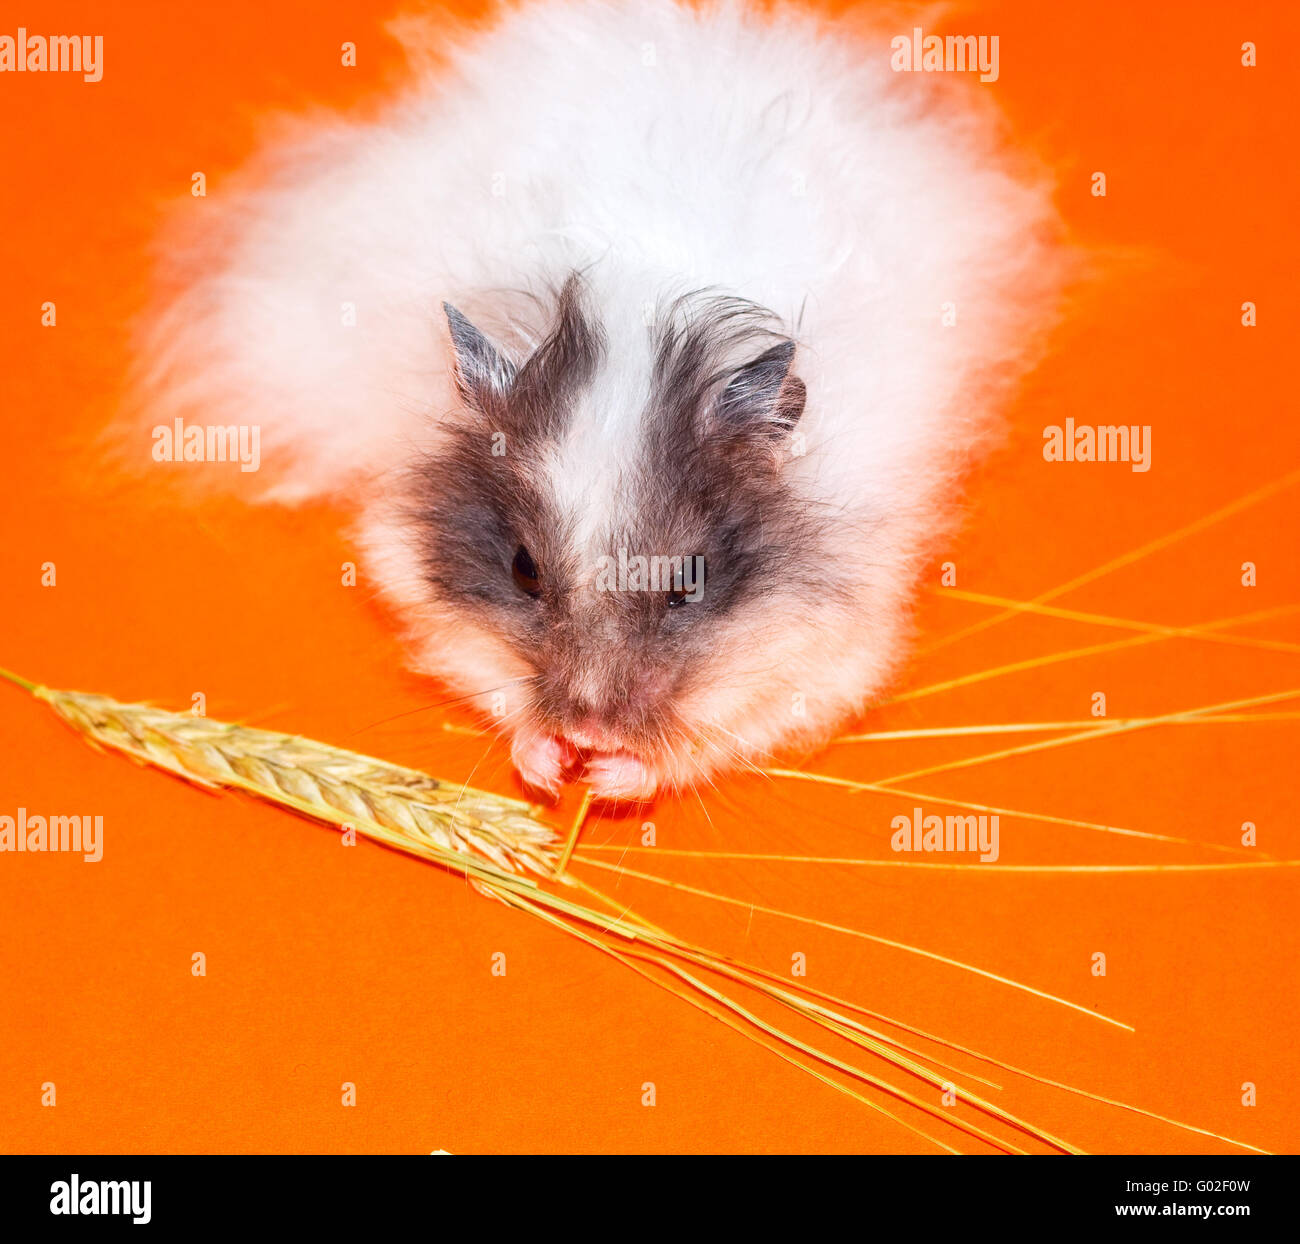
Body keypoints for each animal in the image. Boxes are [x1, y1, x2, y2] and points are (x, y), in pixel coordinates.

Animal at [134, 0, 1062, 800]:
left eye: (688, 582)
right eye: (522, 569)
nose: (587, 728)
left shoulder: (825, 645)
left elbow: (723, 729)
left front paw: (613, 777)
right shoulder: (422, 581)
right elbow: (486, 671)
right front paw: (547, 766)